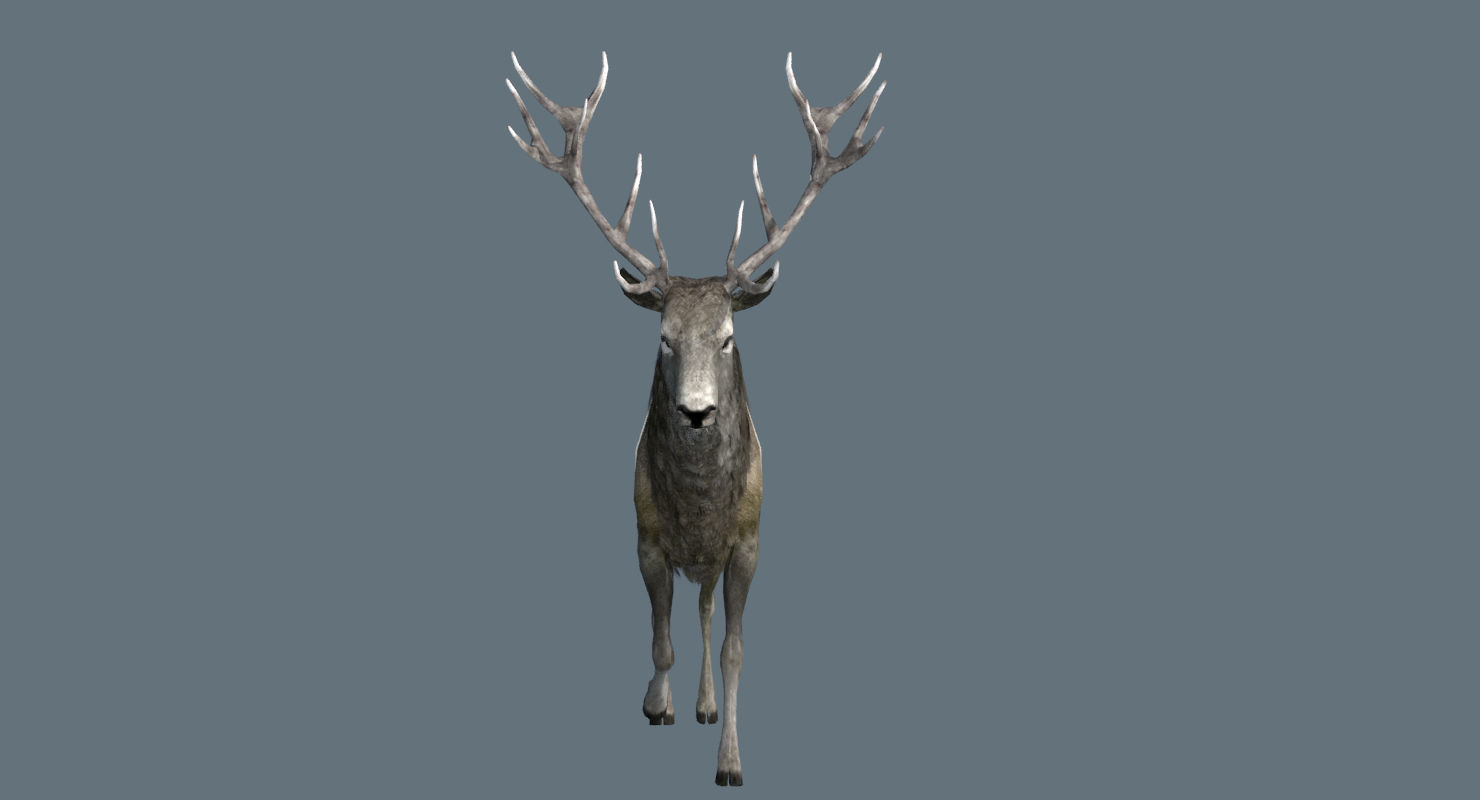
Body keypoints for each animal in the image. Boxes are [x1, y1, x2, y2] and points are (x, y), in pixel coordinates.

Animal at [505, 51, 884, 787]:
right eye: (663, 338)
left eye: (729, 337)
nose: (697, 411)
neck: (701, 508)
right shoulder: (646, 537)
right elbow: (660, 638)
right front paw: (658, 706)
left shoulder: (749, 543)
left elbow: (735, 648)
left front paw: (730, 761)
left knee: (708, 611)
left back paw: (709, 708)